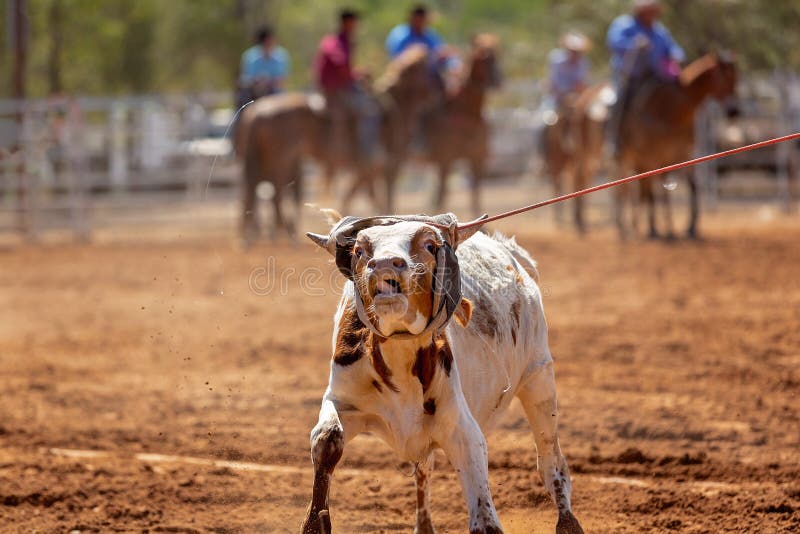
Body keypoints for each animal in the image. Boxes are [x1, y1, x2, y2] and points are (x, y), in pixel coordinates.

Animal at [302, 213, 583, 534]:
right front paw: (314, 522)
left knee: (551, 460)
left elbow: (485, 519)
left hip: (539, 379)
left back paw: (567, 519)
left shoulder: (462, 430)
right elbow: (327, 439)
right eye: (360, 250)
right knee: (424, 469)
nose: (385, 264)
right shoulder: (343, 399)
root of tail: (513, 254)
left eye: (429, 244)